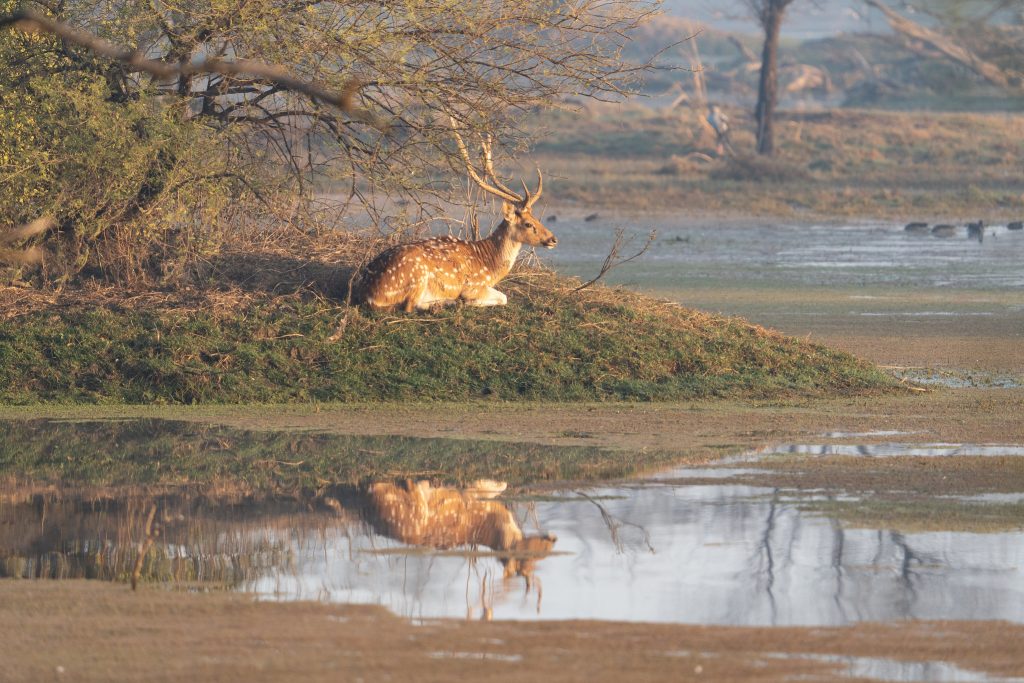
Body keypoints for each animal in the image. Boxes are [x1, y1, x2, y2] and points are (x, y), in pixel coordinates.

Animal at [354, 120, 556, 312]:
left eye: (537, 218)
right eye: (528, 224)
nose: (553, 239)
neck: (489, 266)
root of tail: (368, 294)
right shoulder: (474, 285)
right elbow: (502, 297)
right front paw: (467, 302)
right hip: (417, 276)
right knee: (409, 306)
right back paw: (448, 303)